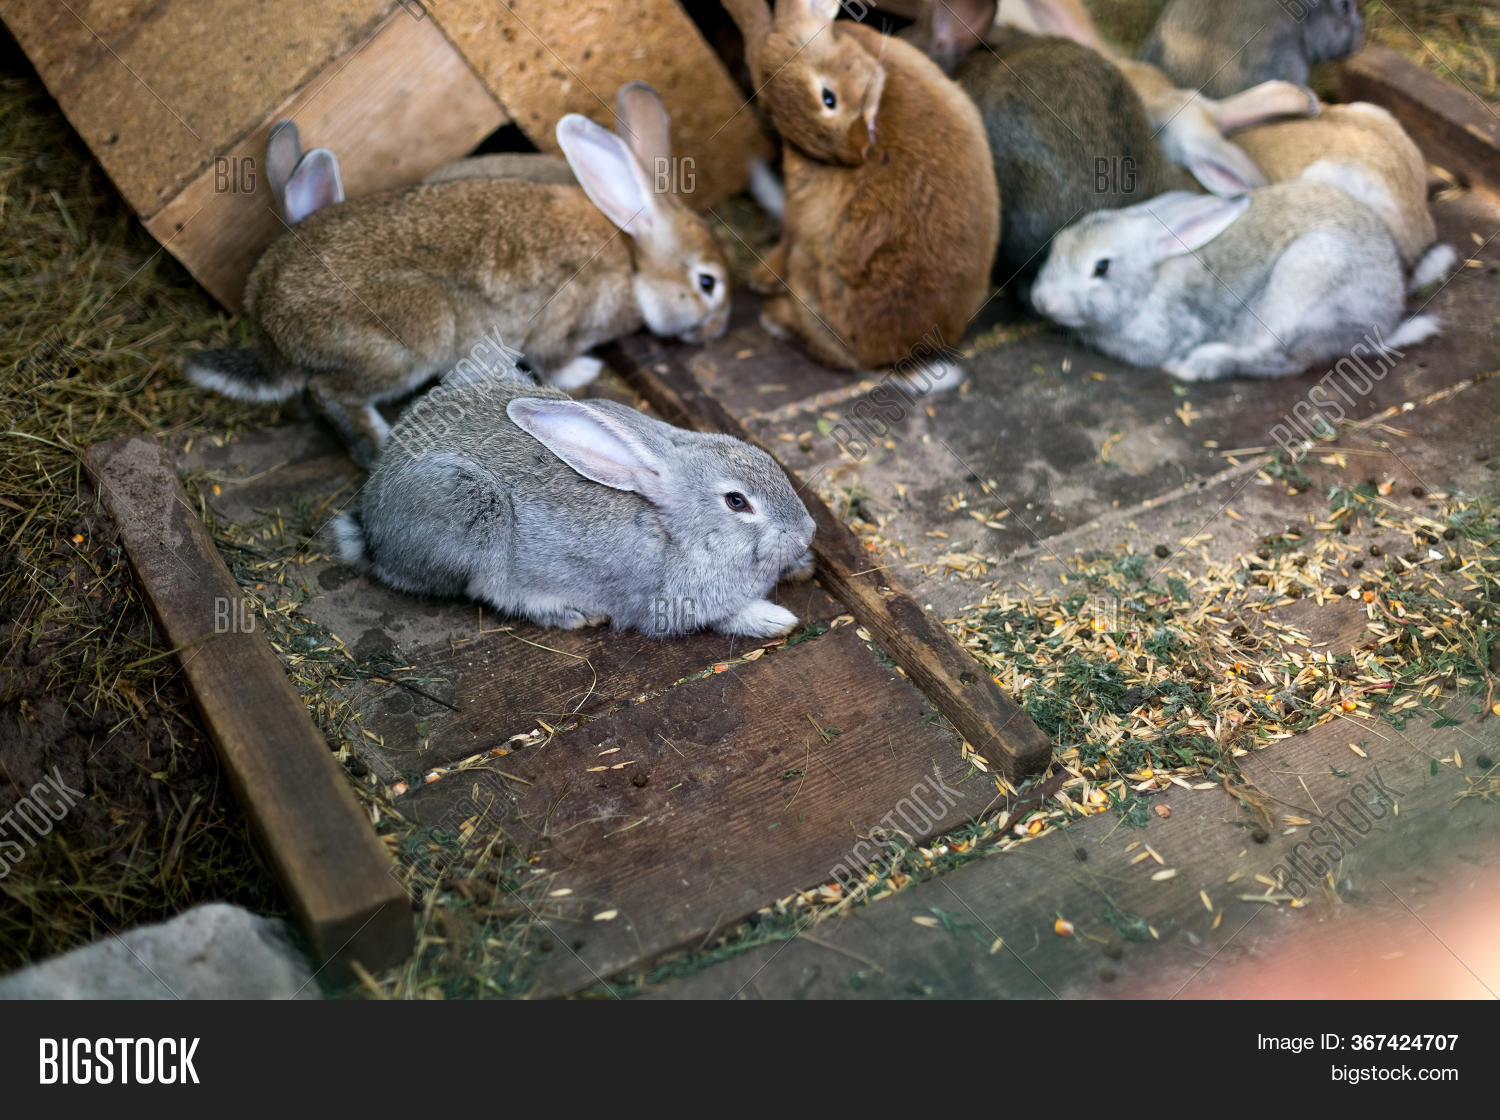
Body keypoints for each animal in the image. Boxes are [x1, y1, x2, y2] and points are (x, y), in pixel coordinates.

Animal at [185, 83, 730, 469]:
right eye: (707, 284)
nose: (715, 332)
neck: (634, 264)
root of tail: (269, 327)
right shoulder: (562, 321)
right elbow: (554, 361)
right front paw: (584, 372)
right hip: (411, 340)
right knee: (333, 394)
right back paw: (379, 441)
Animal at [333, 371, 818, 639]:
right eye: (737, 502)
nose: (808, 532)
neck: (677, 532)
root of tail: (371, 525)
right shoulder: (665, 607)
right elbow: (724, 617)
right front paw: (775, 619)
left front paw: (802, 566)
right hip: (471, 509)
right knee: (490, 589)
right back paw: (571, 612)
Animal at [720, 0, 998, 378]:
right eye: (773, 110)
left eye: (828, 98)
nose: (857, 152)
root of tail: (891, 357)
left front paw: (761, 279)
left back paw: (772, 313)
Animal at [1030, 182, 1440, 383]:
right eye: (1059, 242)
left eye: (1101, 268)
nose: (1041, 301)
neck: (1151, 279)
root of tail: (1384, 323)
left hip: (1302, 282)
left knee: (1277, 358)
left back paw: (1195, 366)